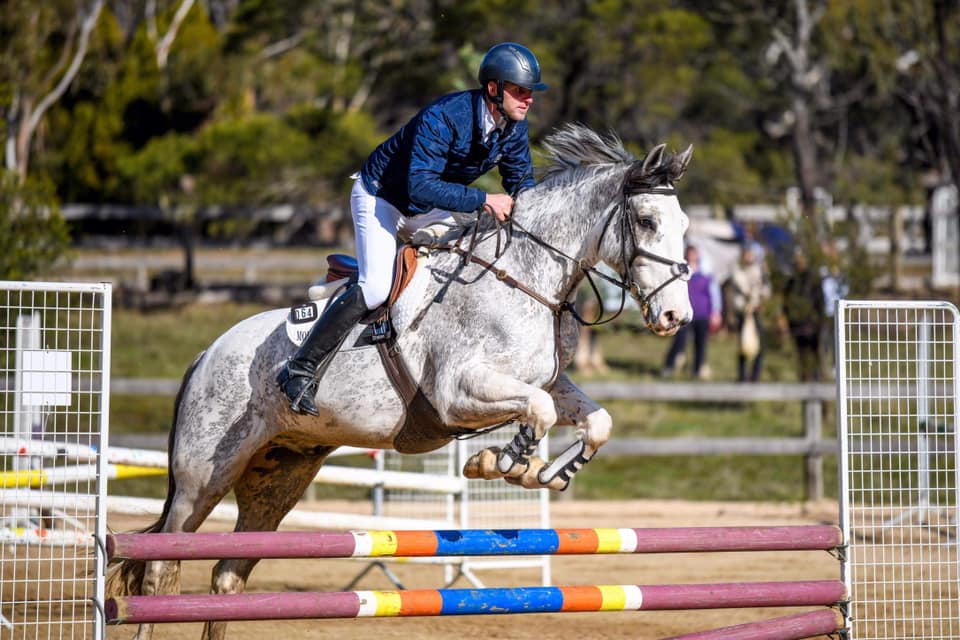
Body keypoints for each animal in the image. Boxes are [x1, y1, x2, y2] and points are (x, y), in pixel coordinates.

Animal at [107, 123, 694, 640]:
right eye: (646, 221)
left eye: (685, 225)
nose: (675, 317)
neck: (524, 278)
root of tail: (205, 354)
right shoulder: (458, 392)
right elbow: (539, 413)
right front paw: (500, 462)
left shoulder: (545, 381)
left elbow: (595, 421)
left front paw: (548, 473)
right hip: (204, 474)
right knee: (161, 568)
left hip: (279, 478)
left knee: (228, 575)